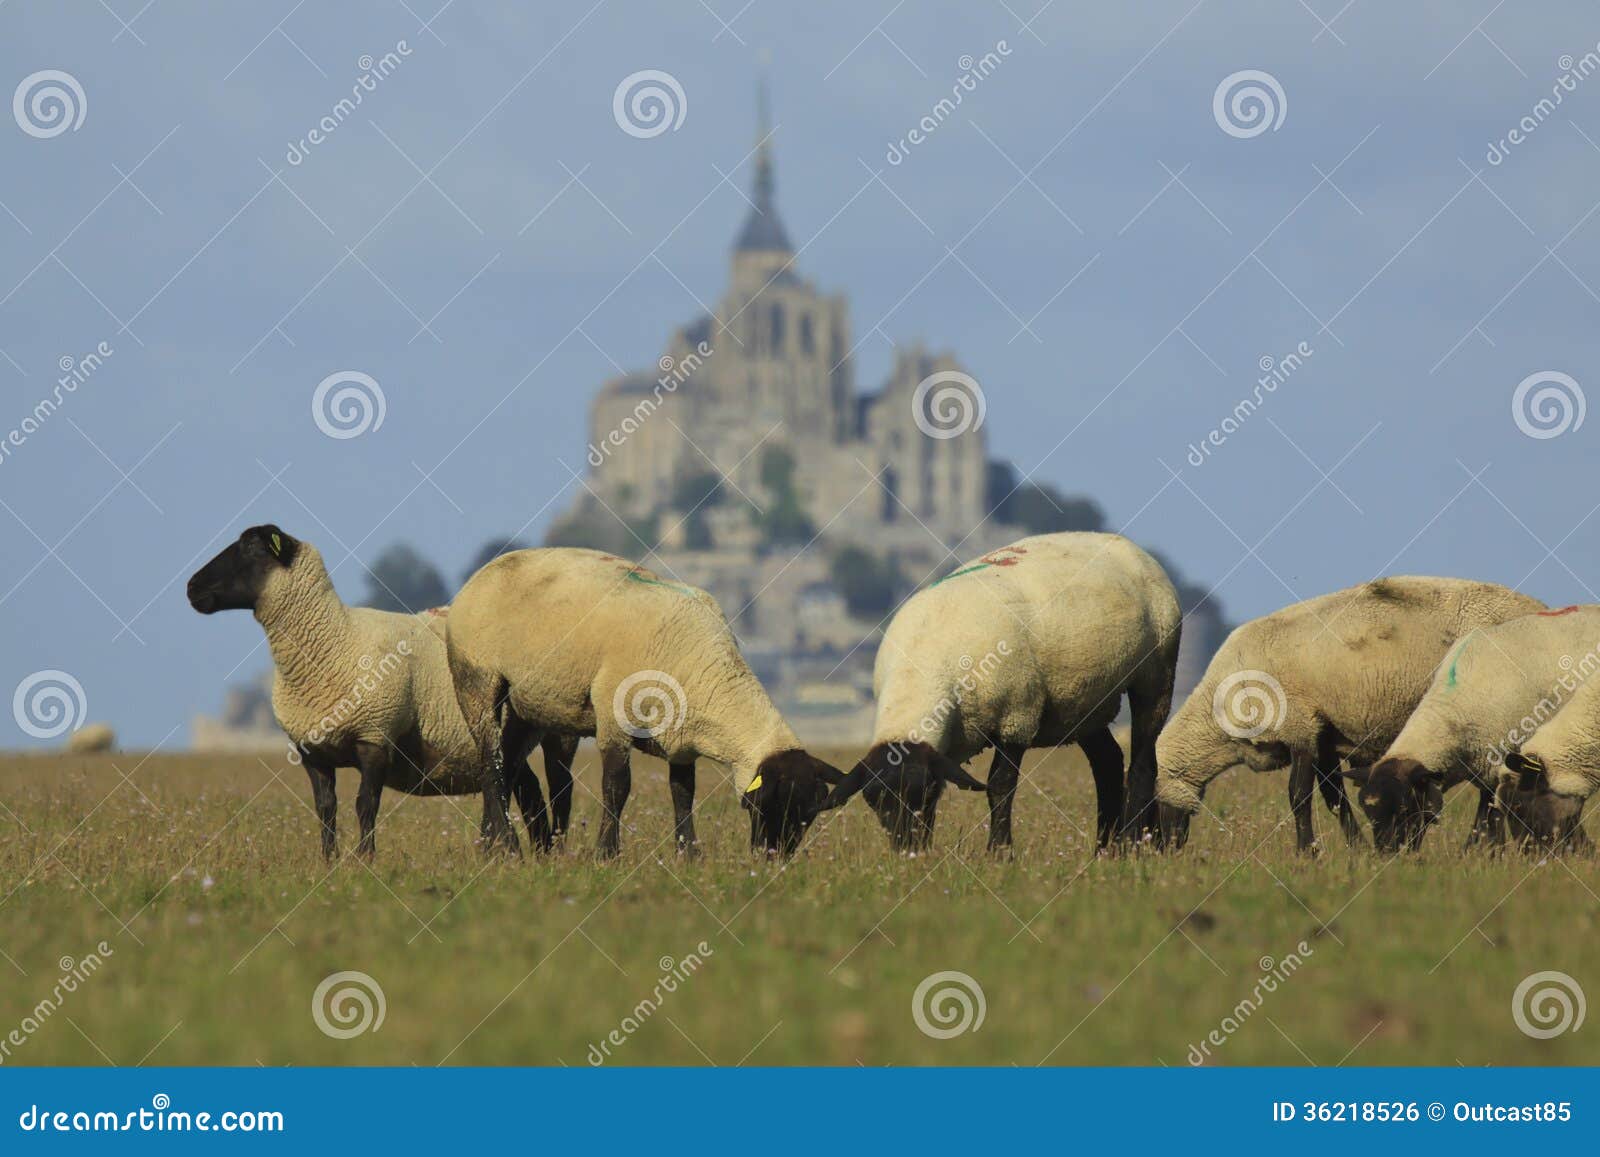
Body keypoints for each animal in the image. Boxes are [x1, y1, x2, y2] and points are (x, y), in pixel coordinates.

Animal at [186, 524, 576, 859]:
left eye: (251, 547)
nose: (191, 588)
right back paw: (533, 854)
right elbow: (326, 808)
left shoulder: (374, 735)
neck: (334, 640)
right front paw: (329, 862)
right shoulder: (311, 750)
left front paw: (364, 859)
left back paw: (551, 852)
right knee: (526, 790)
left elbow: (365, 803)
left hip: (558, 725)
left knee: (558, 787)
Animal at [446, 547, 850, 857]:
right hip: (476, 677)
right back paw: (507, 845)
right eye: (775, 802)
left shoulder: (682, 740)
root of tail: (488, 568)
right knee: (491, 761)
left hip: (528, 703)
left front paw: (689, 854)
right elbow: (617, 786)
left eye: (809, 814)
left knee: (509, 763)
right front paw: (607, 853)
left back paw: (490, 844)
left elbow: (683, 792)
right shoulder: (614, 714)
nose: (774, 859)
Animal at [820, 532, 1182, 852]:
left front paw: (999, 852)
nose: (907, 851)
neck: (922, 672)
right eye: (873, 802)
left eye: (928, 793)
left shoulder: (1017, 715)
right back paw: (1104, 851)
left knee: (1142, 765)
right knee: (1107, 763)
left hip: (1156, 672)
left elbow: (999, 786)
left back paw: (1130, 845)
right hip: (1082, 701)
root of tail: (1131, 546)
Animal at [1155, 577, 1545, 853]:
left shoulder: (1300, 727)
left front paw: (1307, 853)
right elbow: (1333, 798)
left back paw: (1478, 847)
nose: (1160, 854)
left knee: (1492, 786)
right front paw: (1357, 848)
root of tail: (1540, 606)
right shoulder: (1325, 734)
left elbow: (1299, 797)